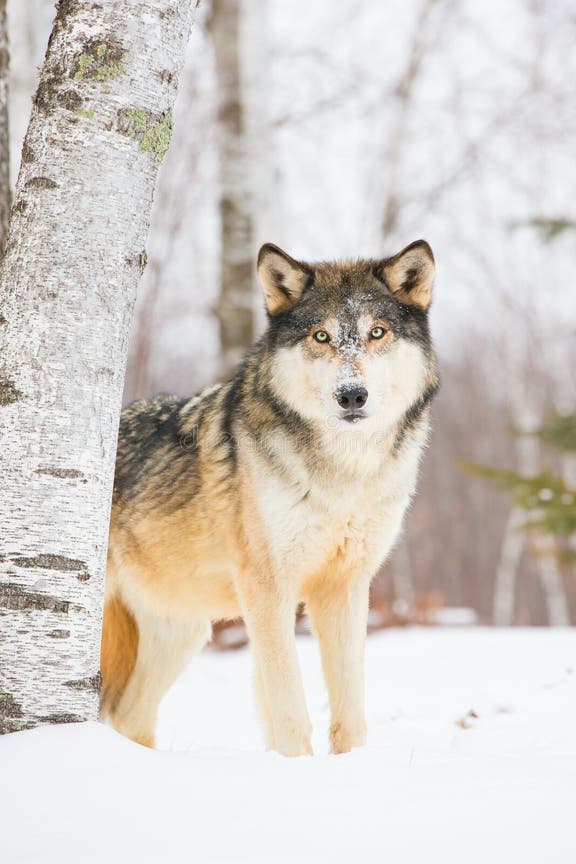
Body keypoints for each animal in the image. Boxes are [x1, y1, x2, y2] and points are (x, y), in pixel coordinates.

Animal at [100, 239, 439, 757]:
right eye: (321, 336)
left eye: (376, 332)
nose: (351, 395)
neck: (343, 475)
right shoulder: (267, 590)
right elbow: (289, 710)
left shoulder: (345, 587)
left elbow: (350, 714)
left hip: (180, 632)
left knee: (128, 716)